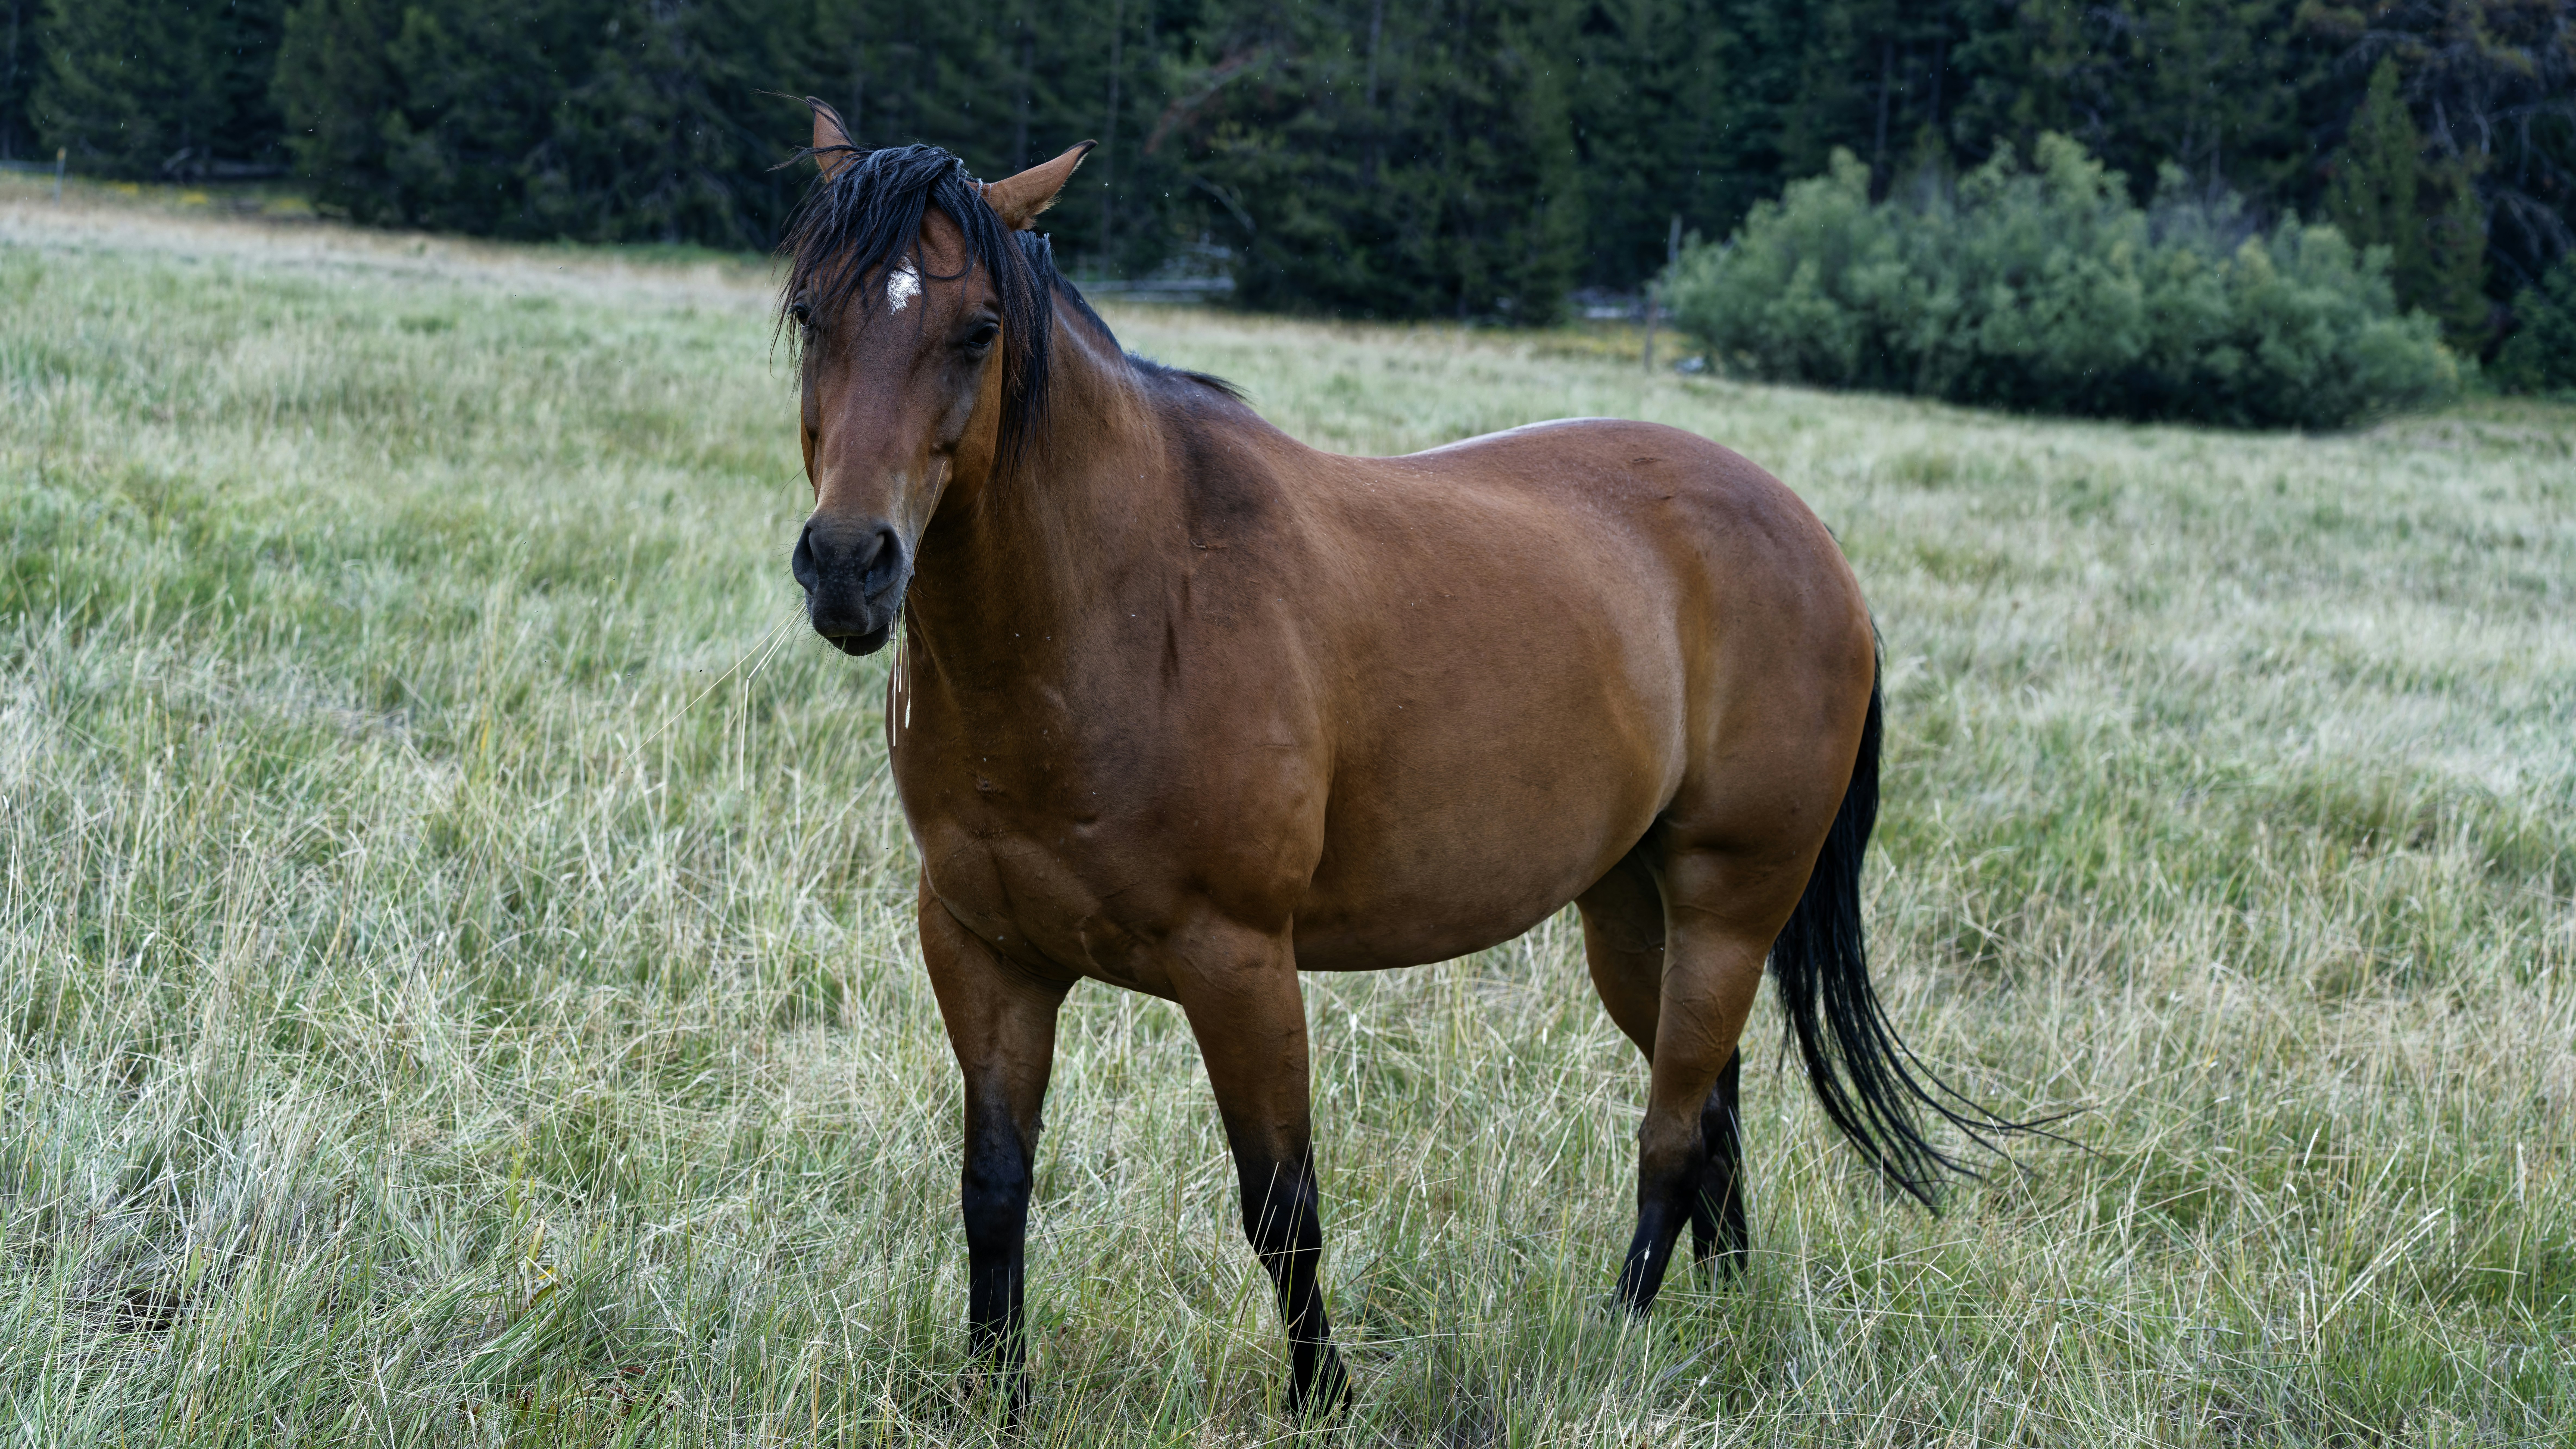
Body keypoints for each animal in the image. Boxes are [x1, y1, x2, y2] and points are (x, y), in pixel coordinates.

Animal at [778, 103, 2008, 1418]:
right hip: (1632, 912)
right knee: (1714, 1106)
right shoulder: (982, 952)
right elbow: (993, 1189)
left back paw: (1616, 1338)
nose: (850, 565)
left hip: (1731, 901)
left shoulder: (1240, 963)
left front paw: (1322, 1396)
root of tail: (1816, 544)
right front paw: (996, 1395)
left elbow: (1281, 1208)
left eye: (978, 329)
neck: (1126, 606)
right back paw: (1723, 1322)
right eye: (812, 313)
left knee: (1674, 1131)